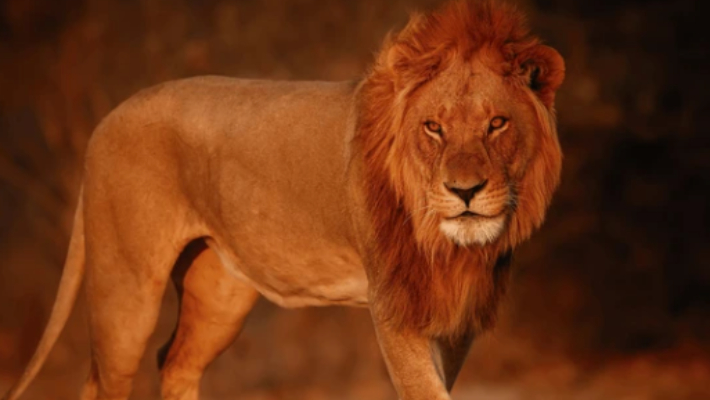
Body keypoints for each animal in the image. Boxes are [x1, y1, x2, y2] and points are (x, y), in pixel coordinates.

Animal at [3, 1, 564, 399]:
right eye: (434, 128)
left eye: (497, 123)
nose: (464, 192)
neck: (451, 247)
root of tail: (106, 118)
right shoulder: (395, 308)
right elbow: (425, 391)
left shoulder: (455, 314)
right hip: (125, 288)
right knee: (105, 379)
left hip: (219, 293)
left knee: (174, 361)